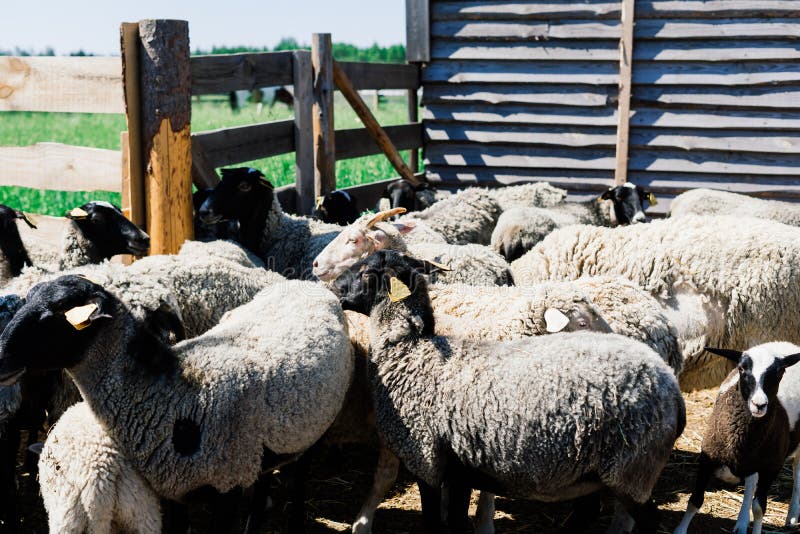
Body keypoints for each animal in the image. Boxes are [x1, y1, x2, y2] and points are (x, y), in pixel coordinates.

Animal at [0, 275, 353, 504]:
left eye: (52, 315)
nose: (0, 359)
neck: (177, 395)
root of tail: (309, 285)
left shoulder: (227, 483)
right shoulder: (176, 490)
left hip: (314, 433)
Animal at [332, 250, 685, 532]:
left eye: (365, 271)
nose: (335, 286)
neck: (413, 350)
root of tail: (672, 388)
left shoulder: (426, 459)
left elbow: (434, 521)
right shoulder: (460, 471)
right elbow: (456, 519)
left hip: (631, 470)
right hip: (609, 472)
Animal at [674, 343, 800, 534]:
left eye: (780, 372)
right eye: (742, 369)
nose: (759, 405)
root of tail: (788, 345)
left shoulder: (771, 467)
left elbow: (759, 509)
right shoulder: (708, 457)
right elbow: (695, 500)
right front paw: (680, 529)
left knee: (797, 471)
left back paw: (792, 516)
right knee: (751, 482)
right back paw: (741, 522)